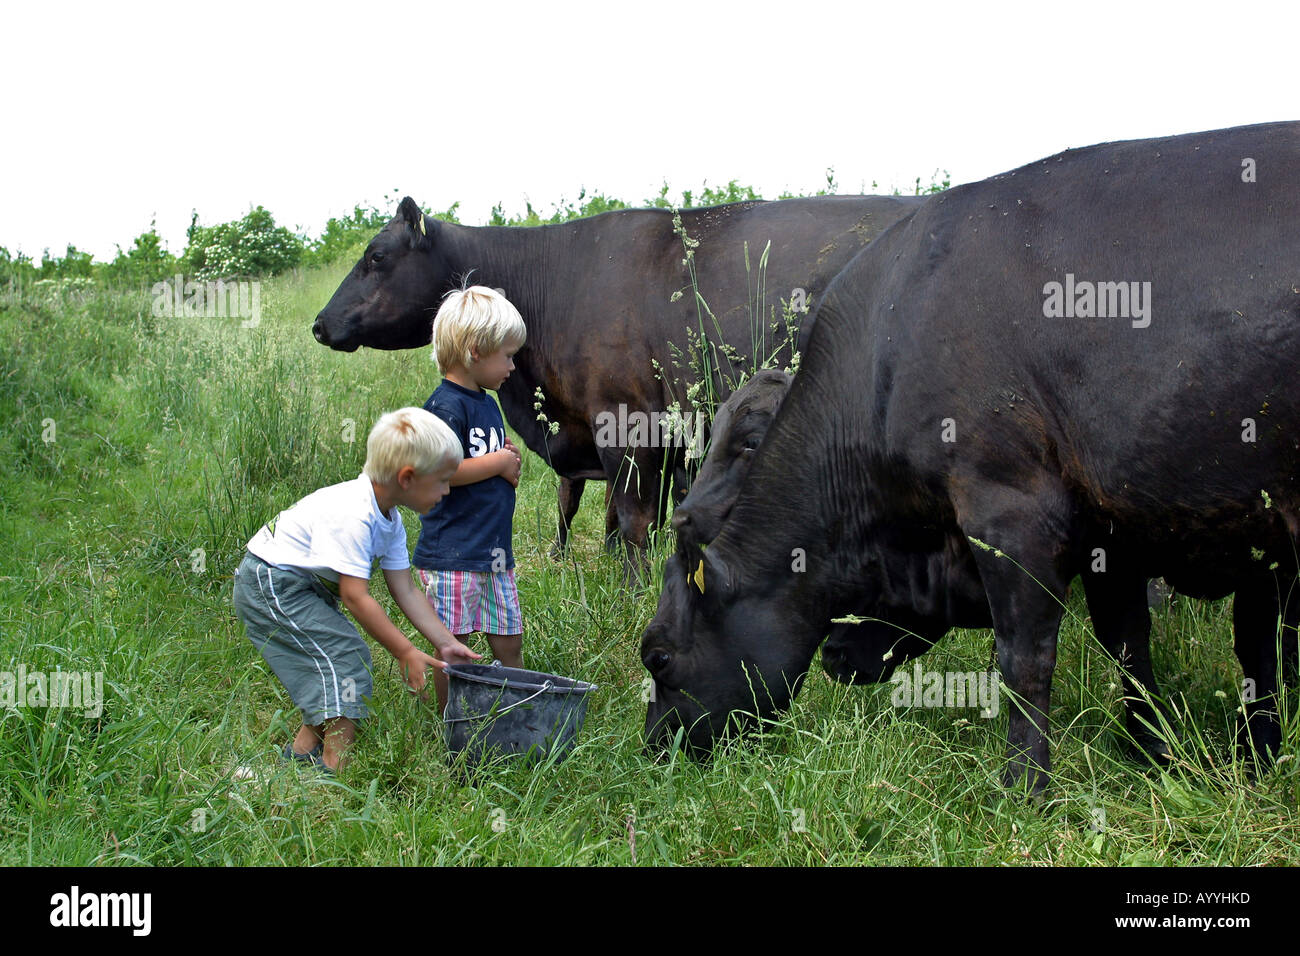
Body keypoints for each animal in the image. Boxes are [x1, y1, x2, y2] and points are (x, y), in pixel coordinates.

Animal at [312, 194, 924, 571]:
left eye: (376, 256)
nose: (319, 323)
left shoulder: (628, 422)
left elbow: (633, 517)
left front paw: (630, 588)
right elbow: (589, 506)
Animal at [641, 121, 1300, 792]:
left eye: (658, 657)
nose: (654, 749)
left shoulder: (1012, 514)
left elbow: (1024, 660)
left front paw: (1026, 787)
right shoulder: (1117, 541)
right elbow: (1140, 651)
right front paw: (1161, 758)